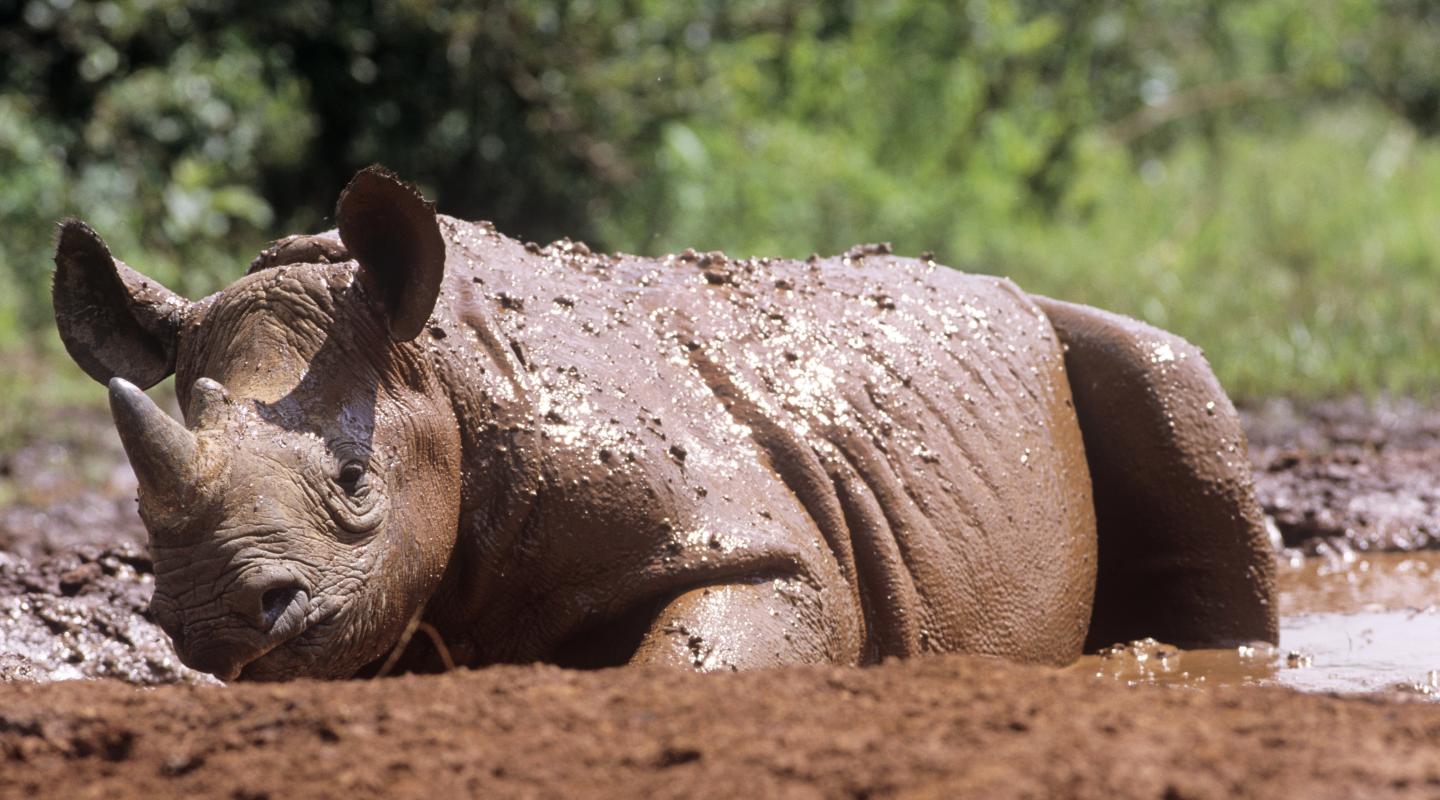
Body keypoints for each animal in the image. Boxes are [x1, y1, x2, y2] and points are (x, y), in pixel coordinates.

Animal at [52, 167, 1276, 681]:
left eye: (356, 484)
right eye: (146, 521)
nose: (215, 619)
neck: (443, 371)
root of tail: (994, 282)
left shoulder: (765, 539)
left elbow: (689, 659)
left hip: (1064, 334)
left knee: (1159, 367)